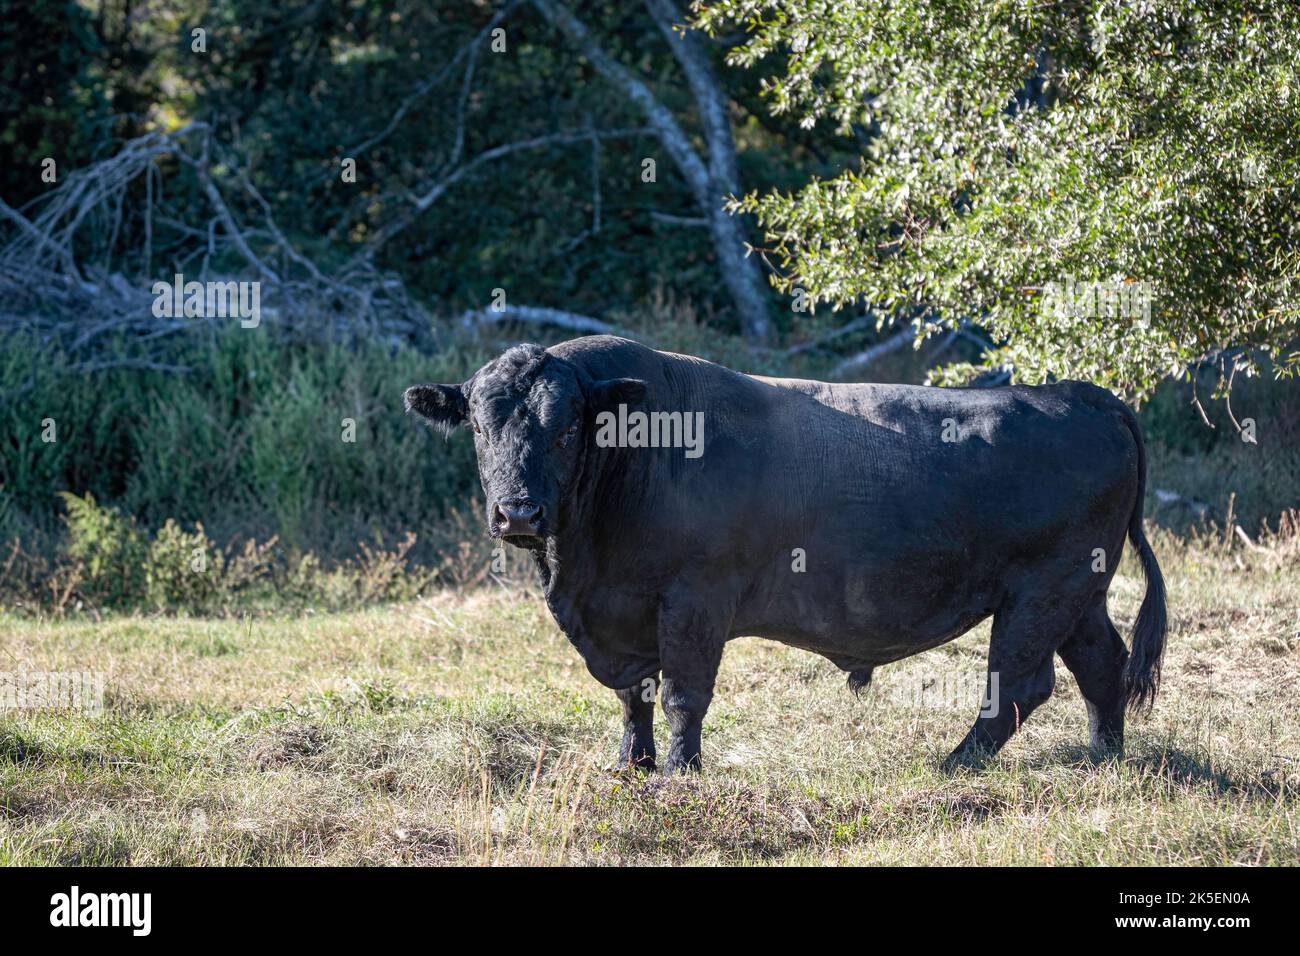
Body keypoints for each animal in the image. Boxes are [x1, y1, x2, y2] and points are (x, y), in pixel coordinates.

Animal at [405, 335, 1166, 773]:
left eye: (566, 428)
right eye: (479, 427)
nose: (518, 512)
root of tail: (1084, 396)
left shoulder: (695, 598)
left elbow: (682, 694)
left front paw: (680, 774)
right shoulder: (621, 612)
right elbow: (632, 695)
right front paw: (630, 767)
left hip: (1042, 591)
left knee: (1019, 684)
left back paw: (955, 764)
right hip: (1079, 592)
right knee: (1103, 663)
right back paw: (1106, 756)